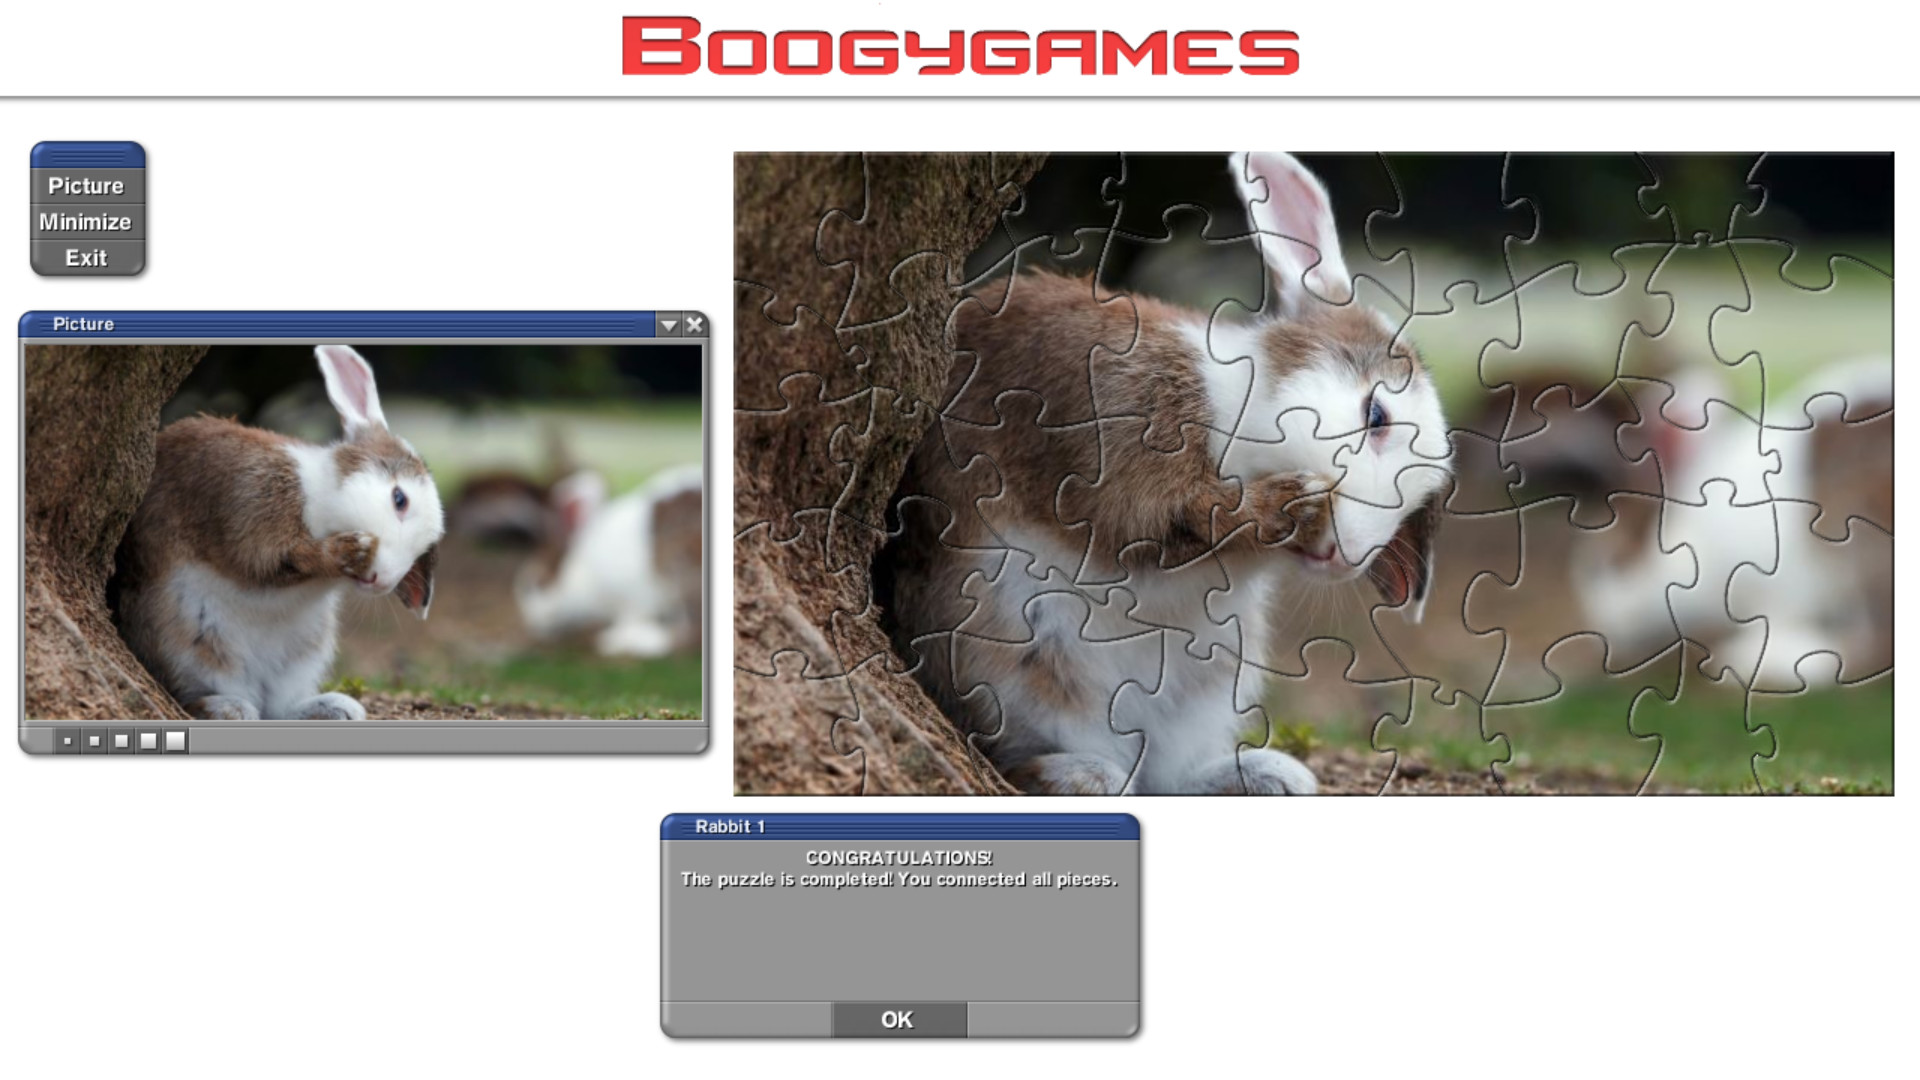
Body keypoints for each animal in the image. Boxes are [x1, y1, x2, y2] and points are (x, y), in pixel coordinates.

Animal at [114, 345, 445, 721]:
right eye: (399, 499)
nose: (381, 581)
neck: (318, 494)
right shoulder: (251, 512)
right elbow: (274, 560)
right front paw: (351, 549)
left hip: (301, 657)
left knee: (279, 709)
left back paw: (337, 708)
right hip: (192, 644)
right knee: (192, 692)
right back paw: (229, 709)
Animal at [514, 464, 703, 658]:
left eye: (530, 585)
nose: (530, 622)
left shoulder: (636, 599)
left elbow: (633, 618)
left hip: (683, 571)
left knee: (690, 635)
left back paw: (617, 640)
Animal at [881, 151, 1452, 795]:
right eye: (1375, 416)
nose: (1344, 557)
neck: (1235, 404)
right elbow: (1162, 519)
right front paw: (1288, 501)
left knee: (1172, 774)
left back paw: (1269, 775)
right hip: (1017, 658)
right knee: (1020, 745)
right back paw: (1083, 776)